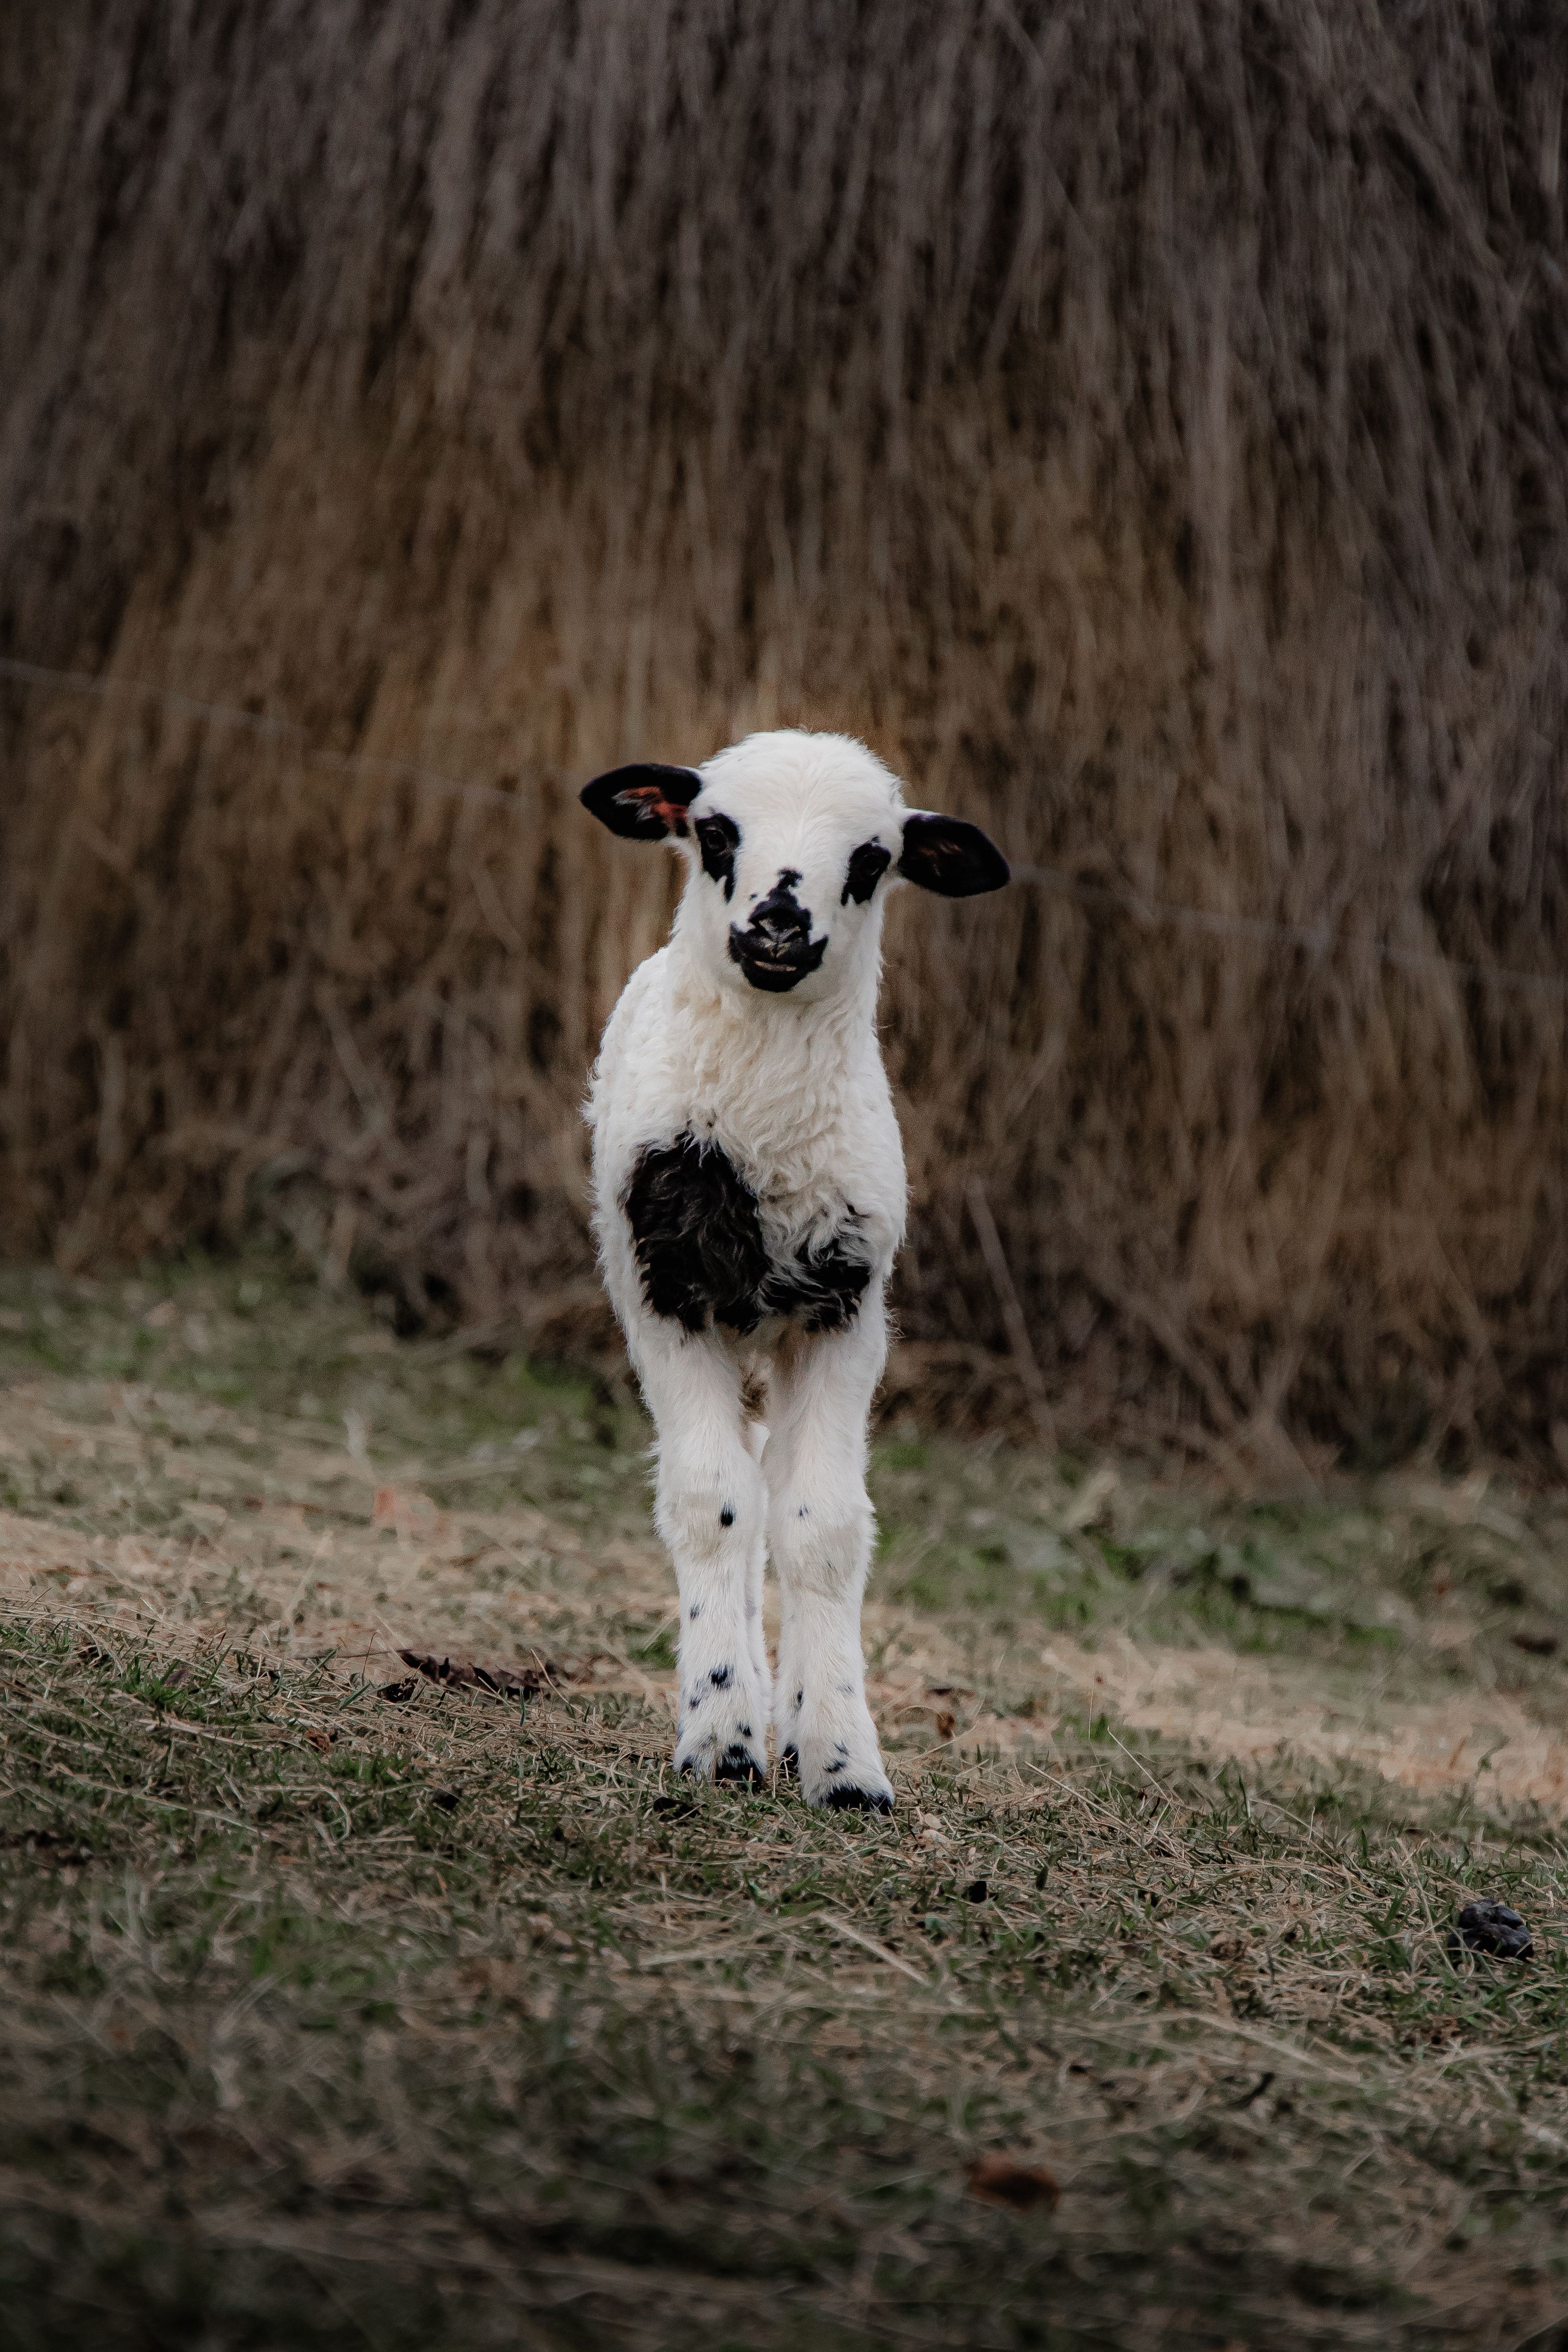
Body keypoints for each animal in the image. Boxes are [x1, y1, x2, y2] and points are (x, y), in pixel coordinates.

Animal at [581, 729, 1009, 1810]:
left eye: (872, 857)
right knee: (734, 1480)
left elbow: (821, 1526)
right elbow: (711, 1502)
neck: (765, 1127)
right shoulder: (663, 1291)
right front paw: (720, 1736)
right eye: (714, 830)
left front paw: (843, 1760)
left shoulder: (846, 1306)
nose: (778, 921)